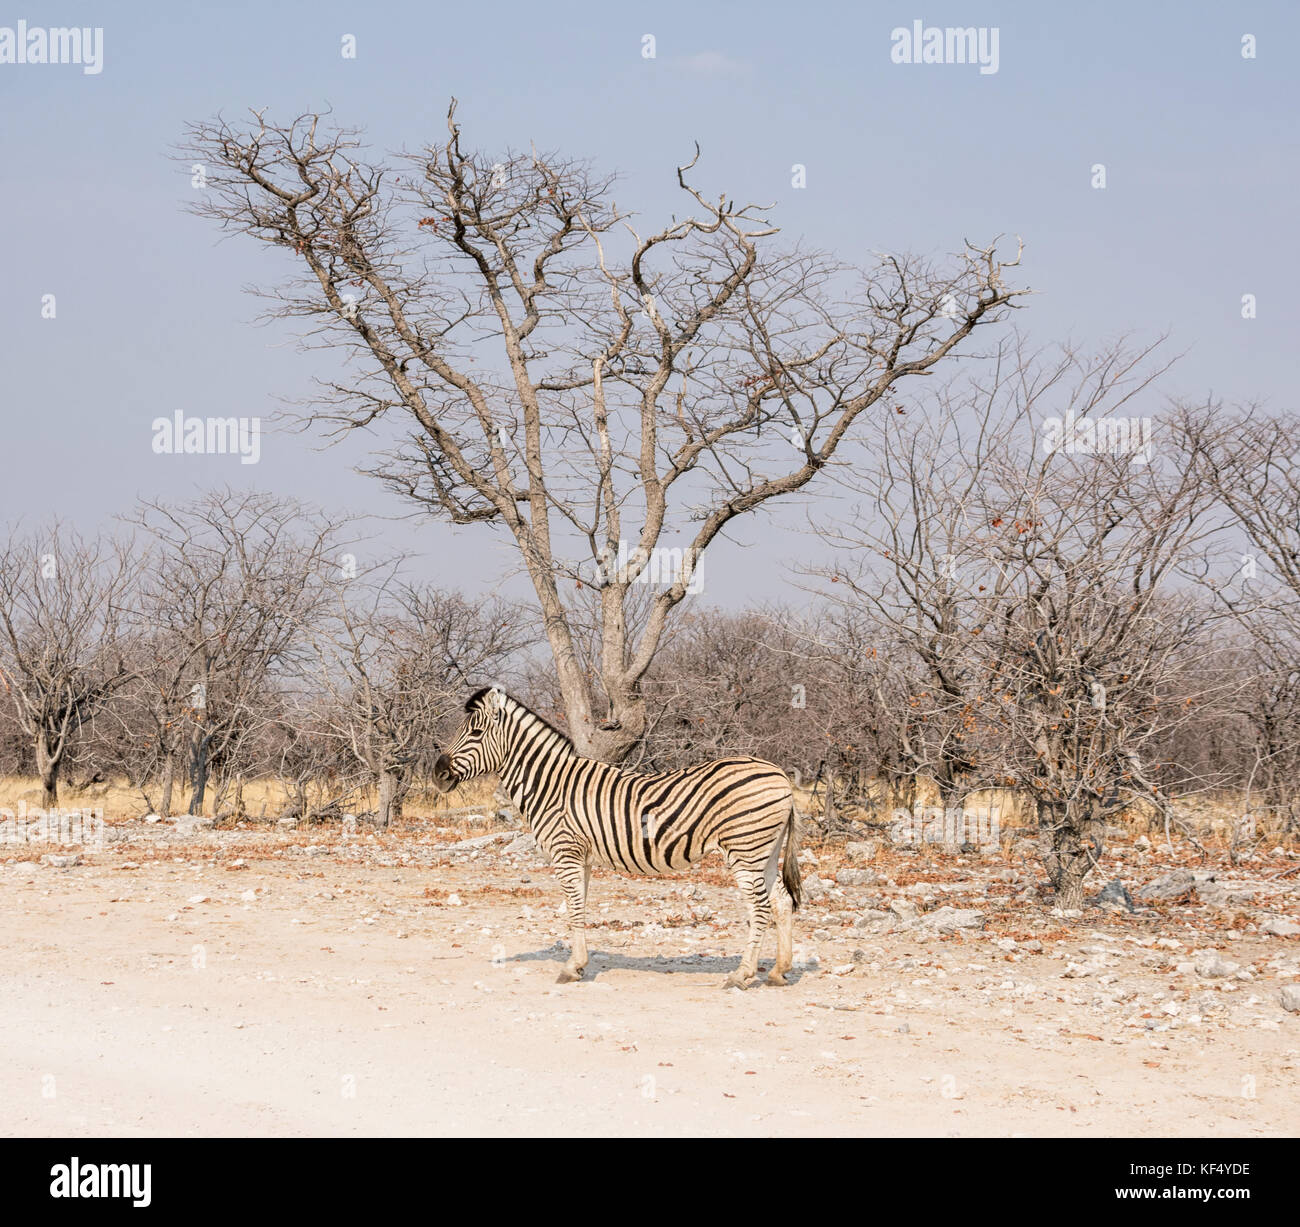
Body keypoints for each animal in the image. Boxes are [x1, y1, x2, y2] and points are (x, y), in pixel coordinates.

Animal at [432, 686, 801, 989]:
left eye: (475, 732)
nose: (438, 775)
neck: (551, 785)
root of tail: (780, 774)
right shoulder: (581, 857)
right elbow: (579, 908)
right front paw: (578, 964)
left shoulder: (565, 851)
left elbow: (574, 909)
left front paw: (571, 968)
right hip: (765, 852)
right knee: (781, 902)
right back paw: (778, 972)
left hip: (744, 849)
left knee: (760, 907)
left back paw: (742, 975)